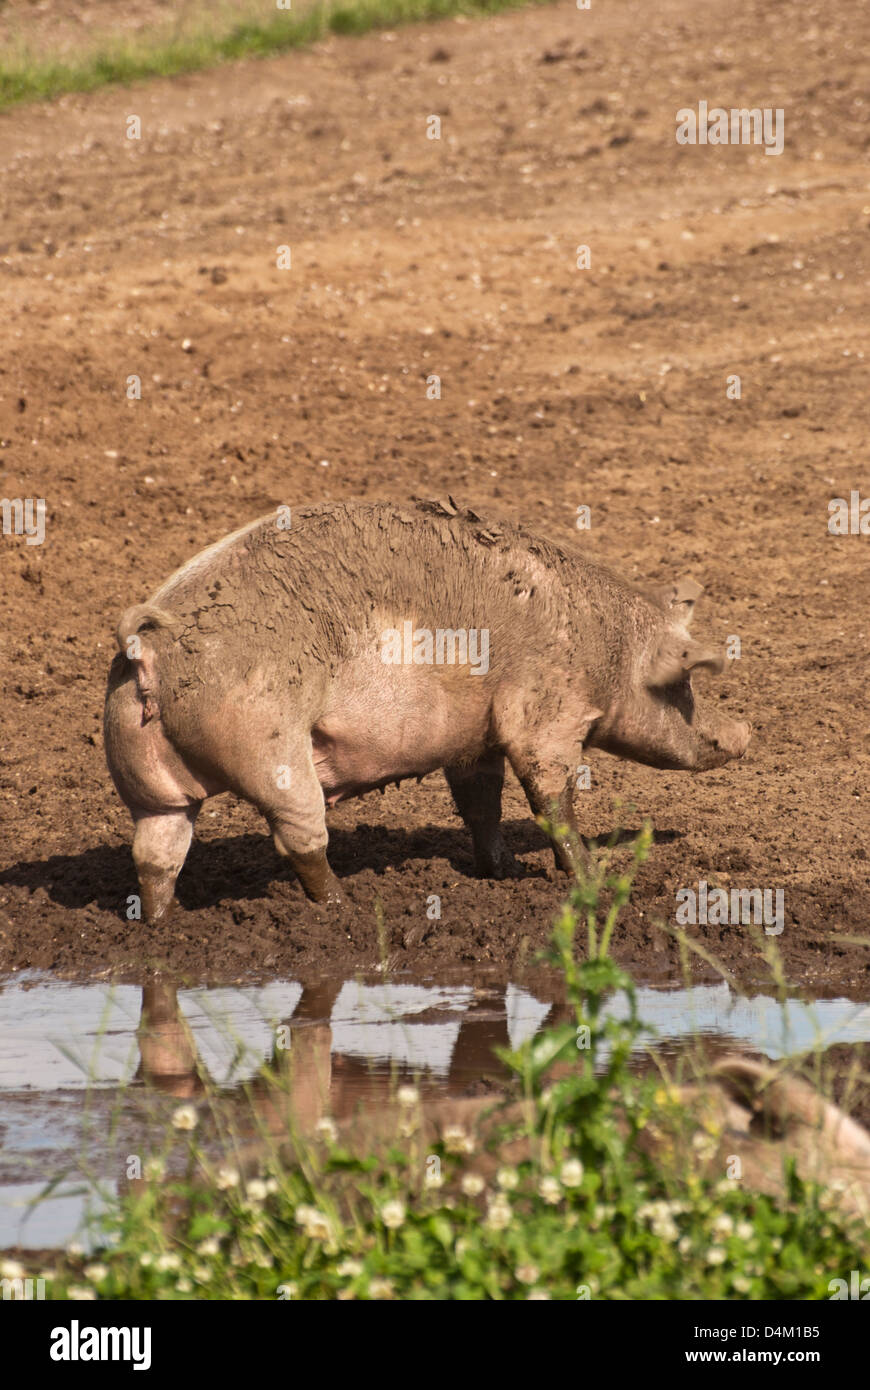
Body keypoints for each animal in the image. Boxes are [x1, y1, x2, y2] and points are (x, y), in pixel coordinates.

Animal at [104, 498, 750, 923]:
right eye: (683, 684)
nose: (745, 732)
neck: (604, 648)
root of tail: (153, 644)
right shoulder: (544, 715)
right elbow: (551, 802)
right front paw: (593, 882)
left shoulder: (474, 737)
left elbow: (481, 804)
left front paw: (503, 873)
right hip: (269, 747)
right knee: (300, 838)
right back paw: (344, 908)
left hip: (140, 769)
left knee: (155, 851)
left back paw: (164, 924)